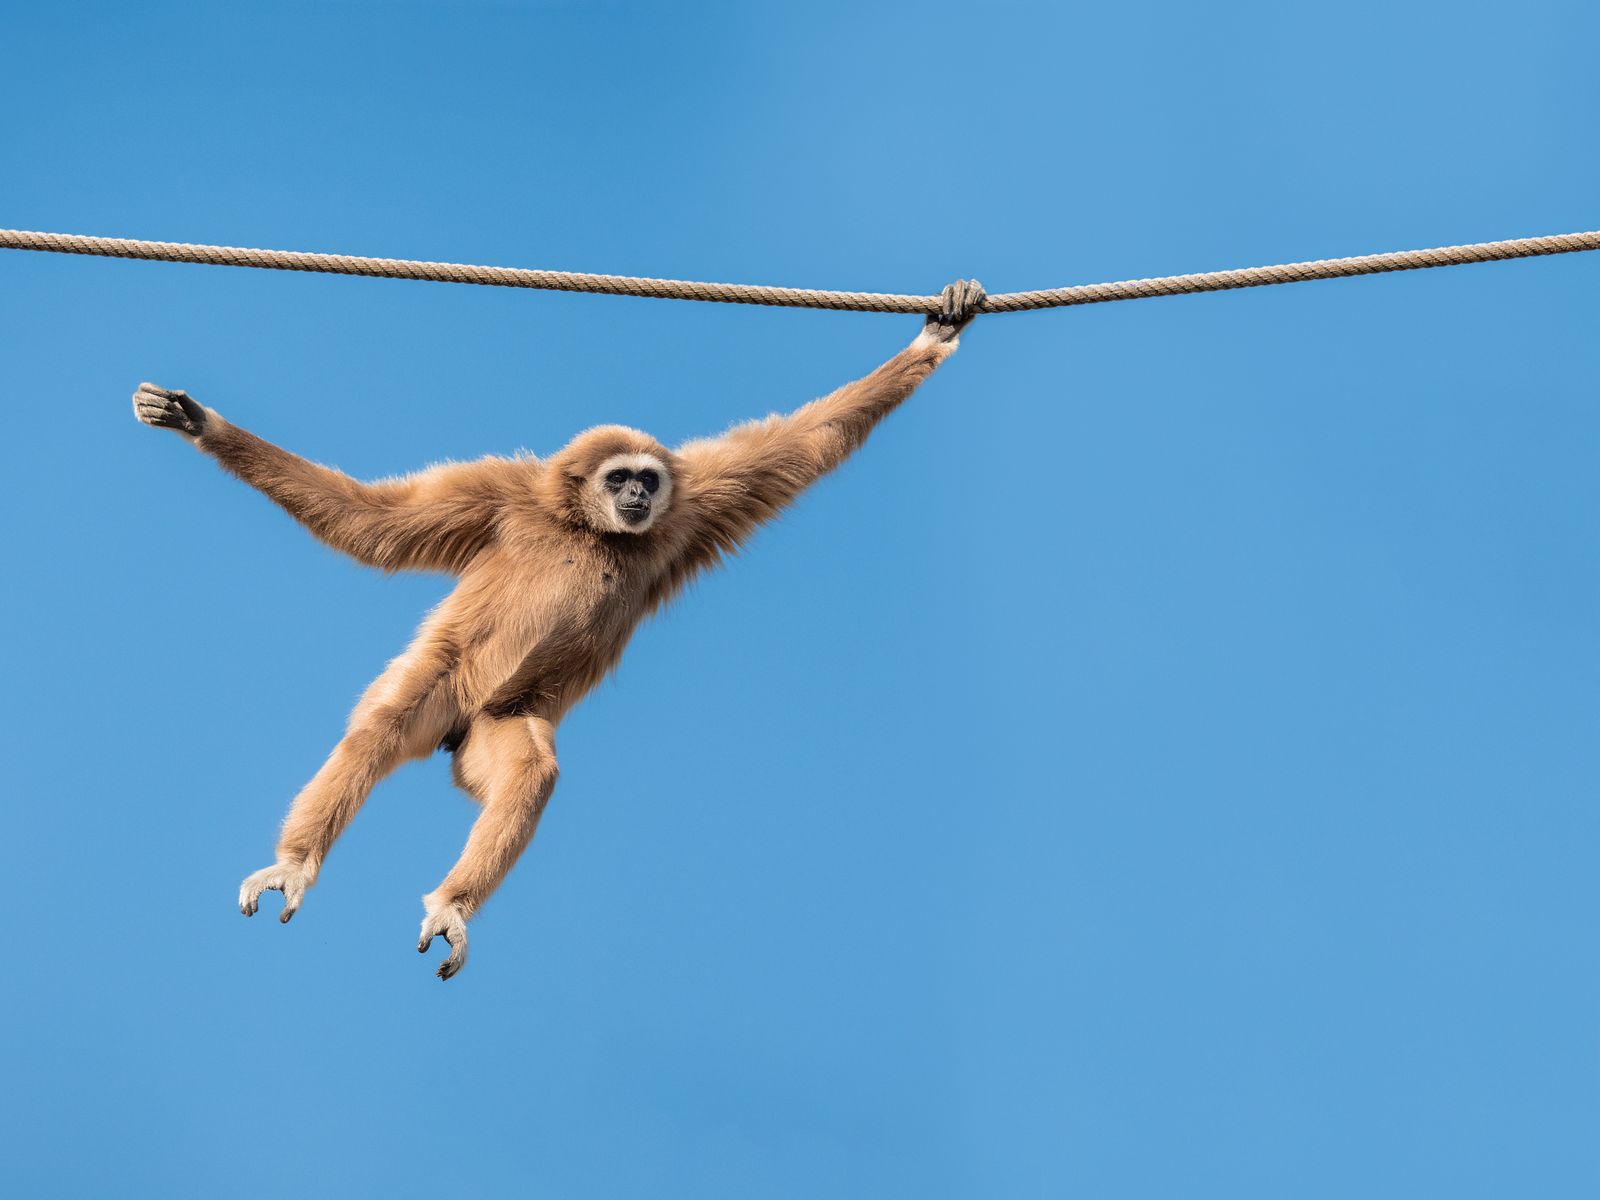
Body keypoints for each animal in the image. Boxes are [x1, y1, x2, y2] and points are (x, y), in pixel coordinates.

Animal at [132, 279, 984, 980]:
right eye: (620, 477)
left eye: (648, 479)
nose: (639, 495)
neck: (589, 529)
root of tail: (457, 728)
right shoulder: (497, 495)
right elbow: (374, 522)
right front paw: (202, 425)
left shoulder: (688, 511)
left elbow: (805, 443)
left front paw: (936, 334)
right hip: (447, 683)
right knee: (381, 728)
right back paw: (298, 864)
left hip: (494, 723)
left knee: (529, 771)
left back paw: (451, 904)